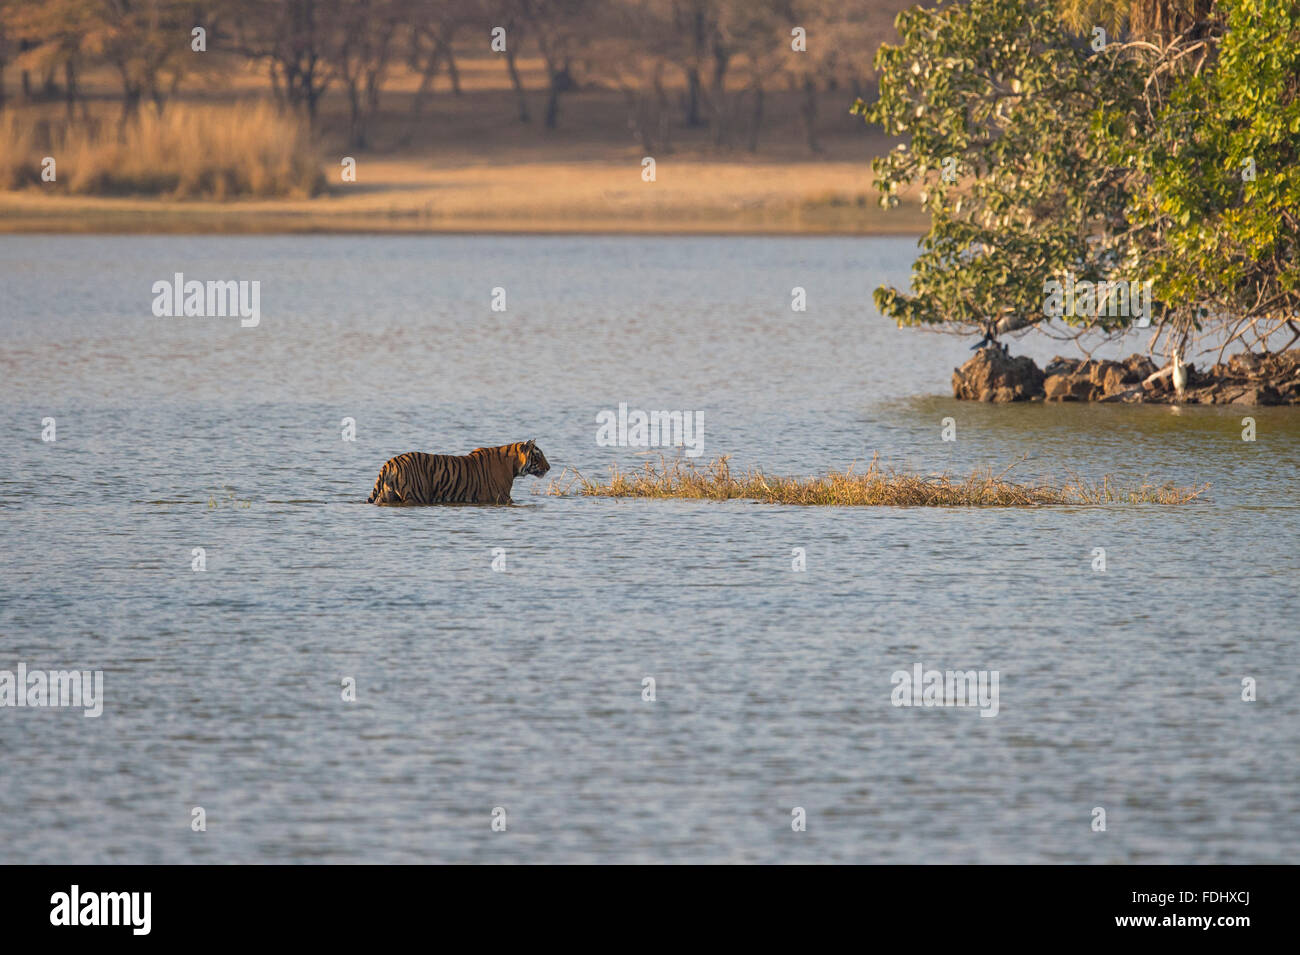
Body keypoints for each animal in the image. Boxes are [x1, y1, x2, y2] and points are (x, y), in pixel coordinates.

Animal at [366, 440, 551, 505]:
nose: (549, 467)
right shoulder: (503, 496)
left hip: (386, 494)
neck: (513, 465)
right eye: (538, 455)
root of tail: (390, 462)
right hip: (416, 495)